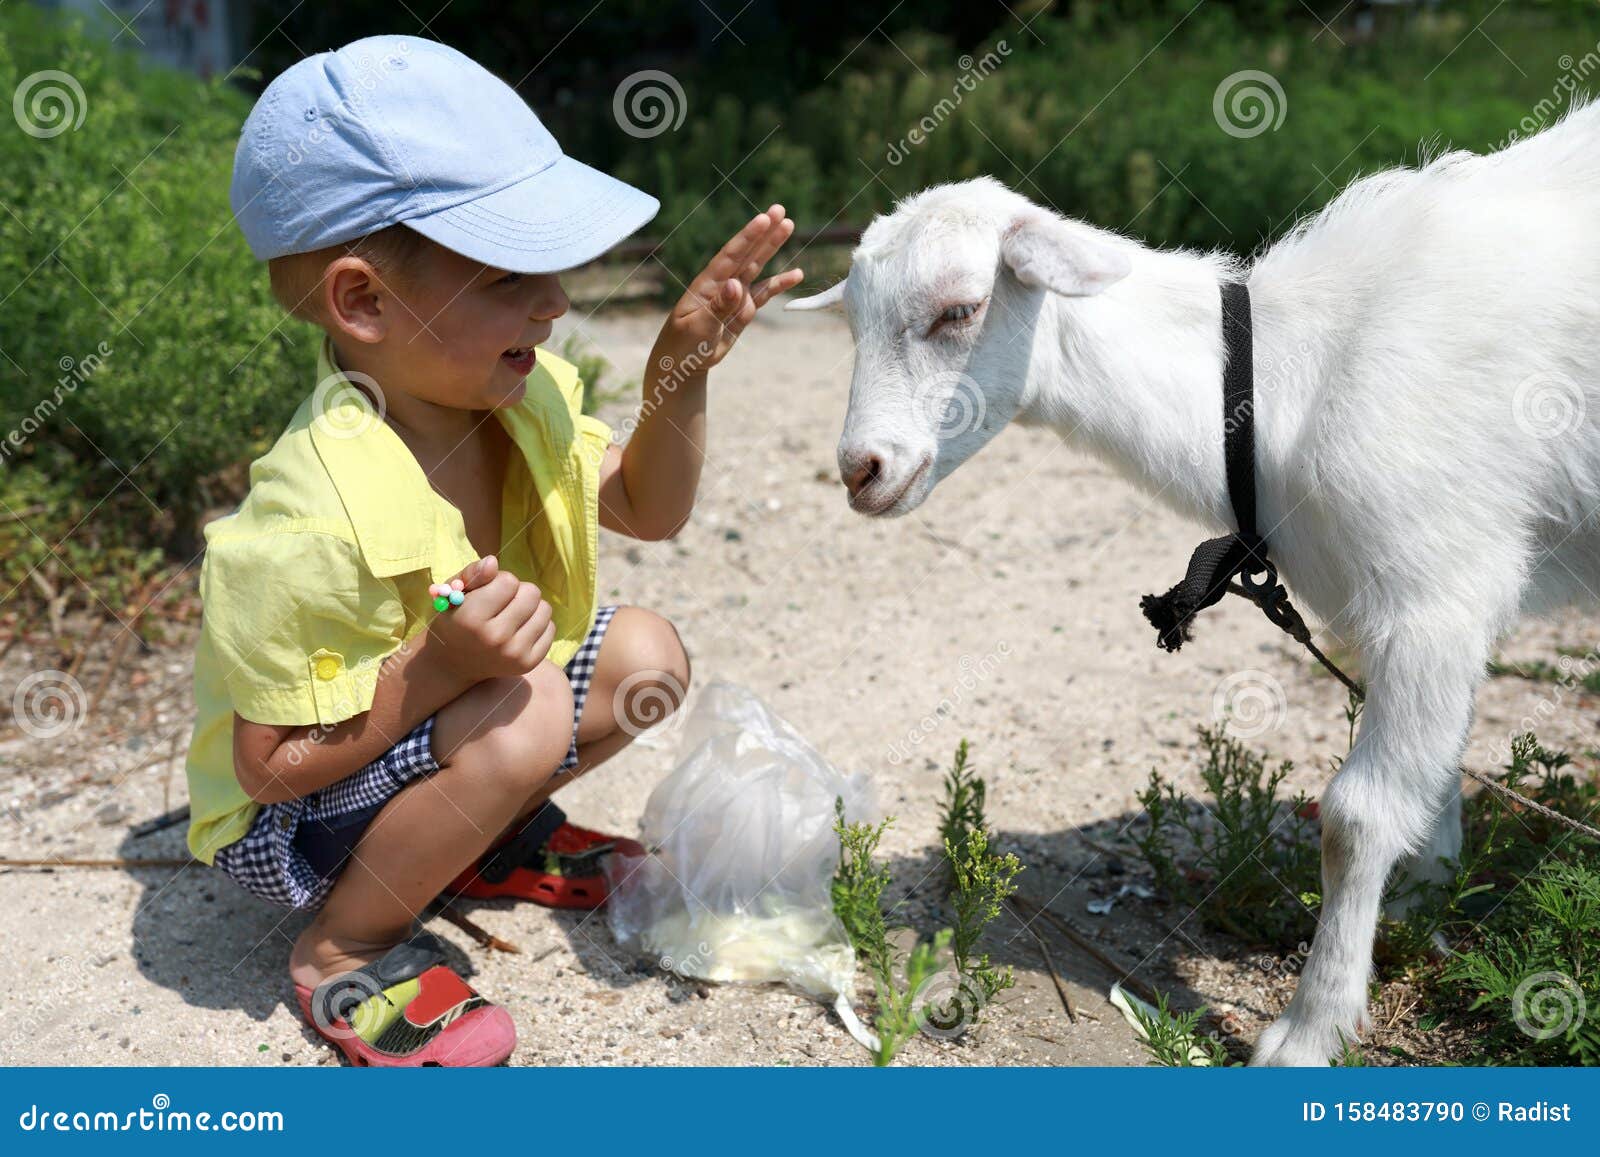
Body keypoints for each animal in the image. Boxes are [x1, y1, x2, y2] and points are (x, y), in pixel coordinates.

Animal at [787, 101, 1600, 1065]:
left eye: (961, 309)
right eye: (850, 323)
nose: (860, 470)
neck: (1284, 378)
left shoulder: (1434, 590)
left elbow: (1356, 815)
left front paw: (1311, 1026)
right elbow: (1430, 782)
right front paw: (1416, 910)